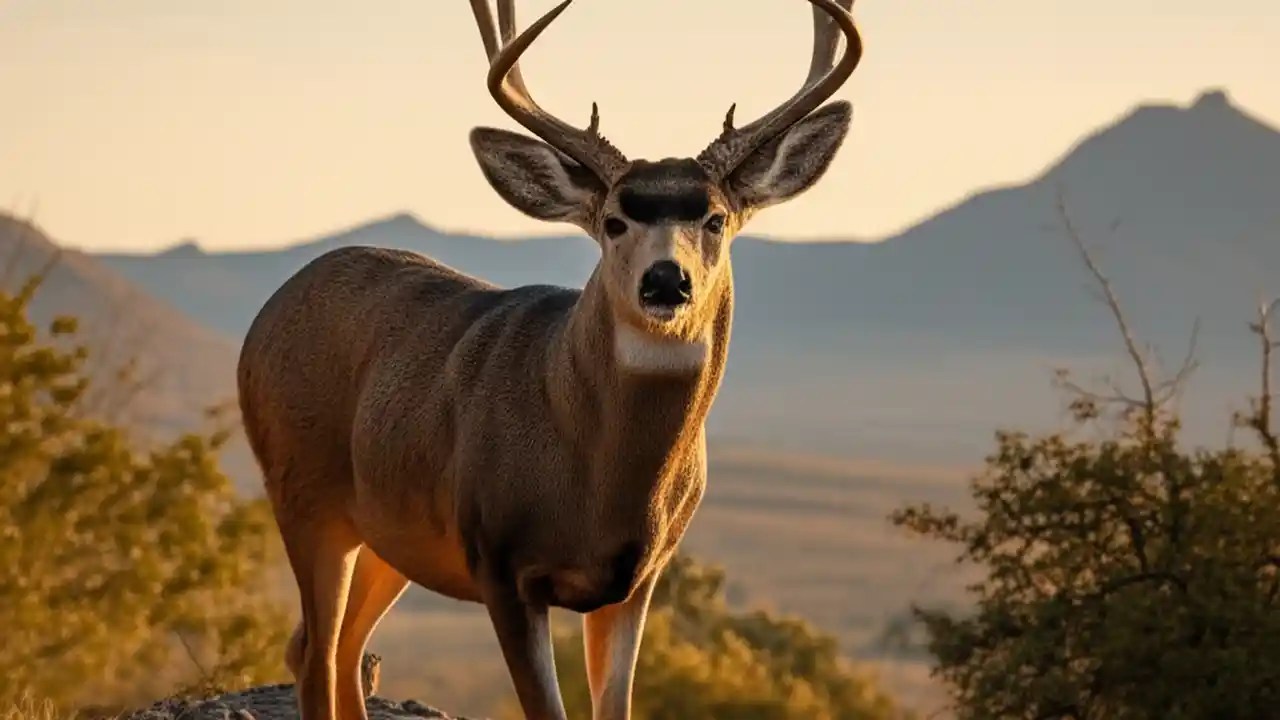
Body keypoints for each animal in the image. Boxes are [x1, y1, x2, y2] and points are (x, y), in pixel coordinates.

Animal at [235, 0, 862, 718]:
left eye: (716, 219)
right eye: (614, 220)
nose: (665, 281)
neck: (598, 483)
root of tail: (267, 314)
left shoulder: (639, 579)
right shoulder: (500, 560)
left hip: (389, 533)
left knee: (338, 649)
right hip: (303, 492)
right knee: (315, 654)